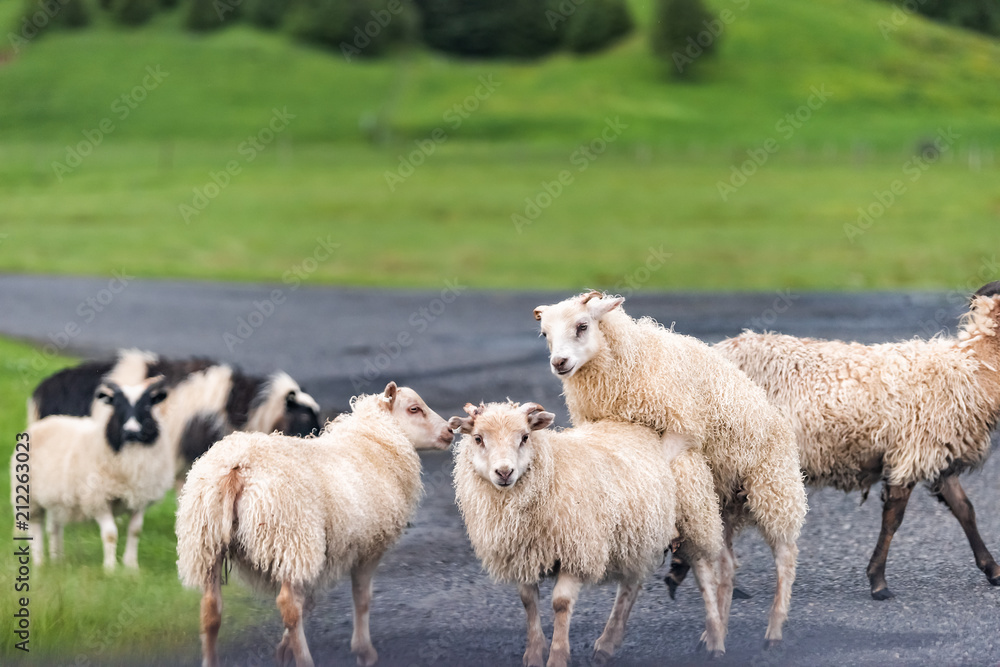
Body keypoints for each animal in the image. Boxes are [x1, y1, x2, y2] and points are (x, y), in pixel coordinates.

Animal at [14, 377, 172, 570]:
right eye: (117, 404)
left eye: (148, 405)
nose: (131, 431)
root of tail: (45, 422)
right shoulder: (98, 499)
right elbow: (111, 534)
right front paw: (111, 568)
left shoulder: (140, 499)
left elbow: (135, 531)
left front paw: (131, 567)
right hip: (30, 498)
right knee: (35, 528)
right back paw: (39, 563)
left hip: (55, 498)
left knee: (54, 528)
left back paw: (57, 560)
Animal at [175, 382, 453, 667]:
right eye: (414, 409)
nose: (450, 430)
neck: (375, 442)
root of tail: (238, 468)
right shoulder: (369, 546)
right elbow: (361, 598)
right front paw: (363, 651)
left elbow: (309, 600)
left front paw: (284, 649)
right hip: (289, 535)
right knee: (288, 606)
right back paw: (305, 659)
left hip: (208, 543)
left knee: (210, 610)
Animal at [450, 400, 697, 667]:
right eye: (478, 439)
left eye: (525, 437)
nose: (504, 472)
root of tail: (631, 426)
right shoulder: (523, 556)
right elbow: (528, 602)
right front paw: (534, 654)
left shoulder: (576, 552)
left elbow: (560, 604)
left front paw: (557, 656)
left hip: (640, 537)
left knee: (629, 587)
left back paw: (606, 644)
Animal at [533, 291, 807, 649]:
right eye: (544, 334)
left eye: (582, 326)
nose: (559, 363)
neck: (627, 360)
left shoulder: (683, 428)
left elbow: (661, 461)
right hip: (722, 504)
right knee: (726, 564)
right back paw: (714, 631)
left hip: (772, 488)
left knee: (785, 556)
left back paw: (773, 629)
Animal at [713, 281, 1000, 600]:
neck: (974, 368)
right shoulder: (912, 452)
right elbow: (894, 519)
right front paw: (878, 582)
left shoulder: (935, 454)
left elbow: (966, 511)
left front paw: (993, 570)